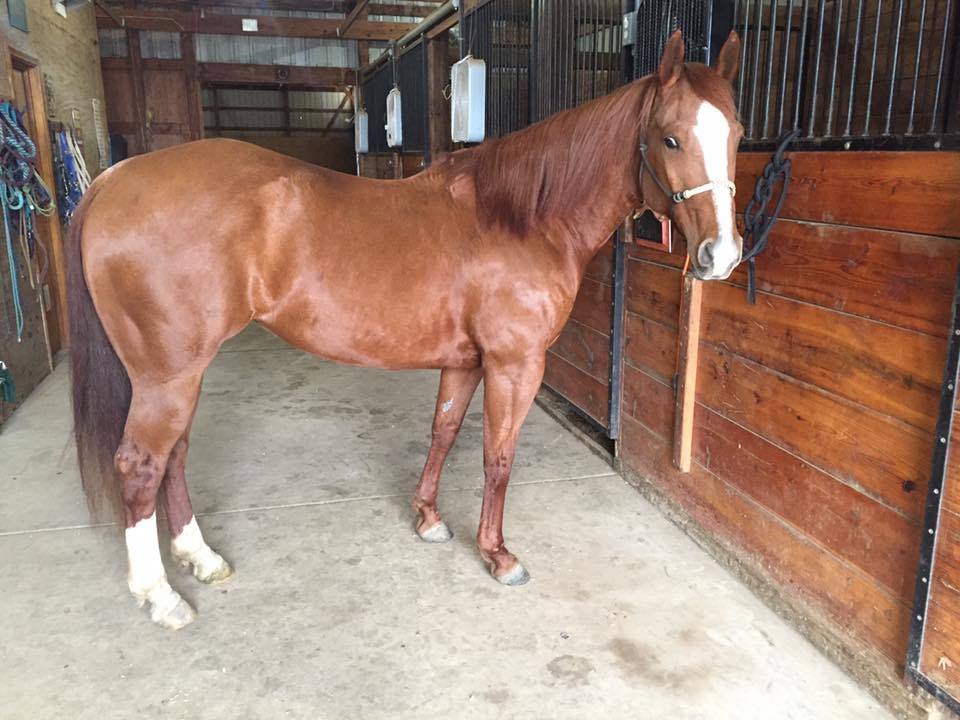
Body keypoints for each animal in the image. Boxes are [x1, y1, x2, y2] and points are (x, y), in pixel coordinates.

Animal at [66, 31, 742, 629]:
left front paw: (427, 518)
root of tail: (111, 182)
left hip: (180, 374)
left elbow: (443, 432)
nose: (722, 255)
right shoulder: (515, 363)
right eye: (670, 138)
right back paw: (161, 596)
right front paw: (498, 555)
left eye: (735, 135)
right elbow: (499, 456)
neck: (521, 217)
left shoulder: (465, 362)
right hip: (168, 376)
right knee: (141, 464)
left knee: (174, 456)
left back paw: (200, 558)